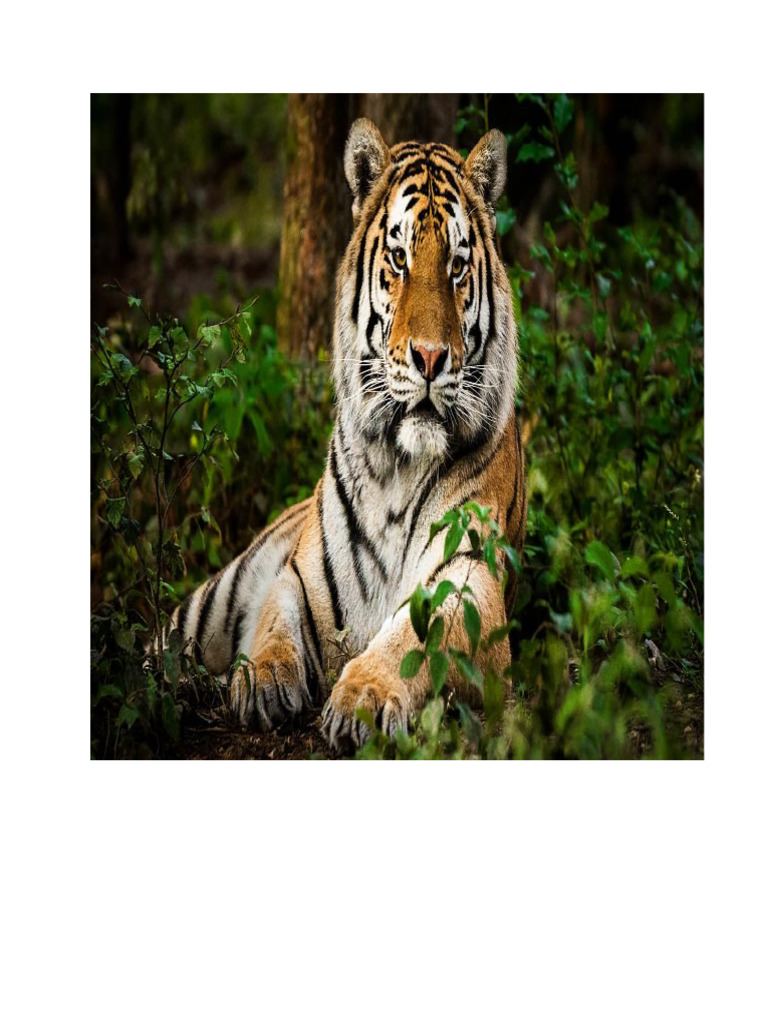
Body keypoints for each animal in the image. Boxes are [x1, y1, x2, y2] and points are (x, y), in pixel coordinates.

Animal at [166, 118, 527, 751]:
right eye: (400, 257)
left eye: (457, 265)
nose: (430, 357)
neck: (399, 466)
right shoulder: (300, 576)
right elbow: (275, 620)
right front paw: (262, 678)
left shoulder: (468, 578)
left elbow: (416, 637)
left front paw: (365, 696)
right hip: (210, 602)